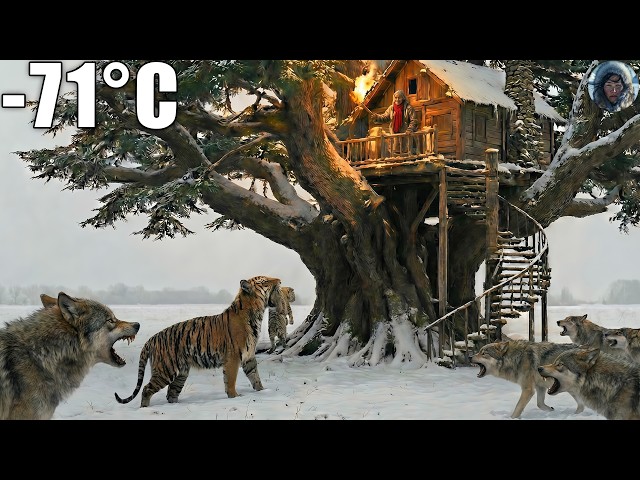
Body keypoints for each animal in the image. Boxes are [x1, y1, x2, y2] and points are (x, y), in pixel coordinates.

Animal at [114, 275, 282, 407]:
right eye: (265, 281)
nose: (280, 280)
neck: (257, 314)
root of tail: (151, 339)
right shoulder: (233, 358)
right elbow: (231, 380)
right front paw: (234, 397)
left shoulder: (249, 356)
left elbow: (255, 377)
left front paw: (263, 391)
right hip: (165, 370)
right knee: (146, 389)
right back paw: (144, 409)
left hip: (181, 373)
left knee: (171, 393)